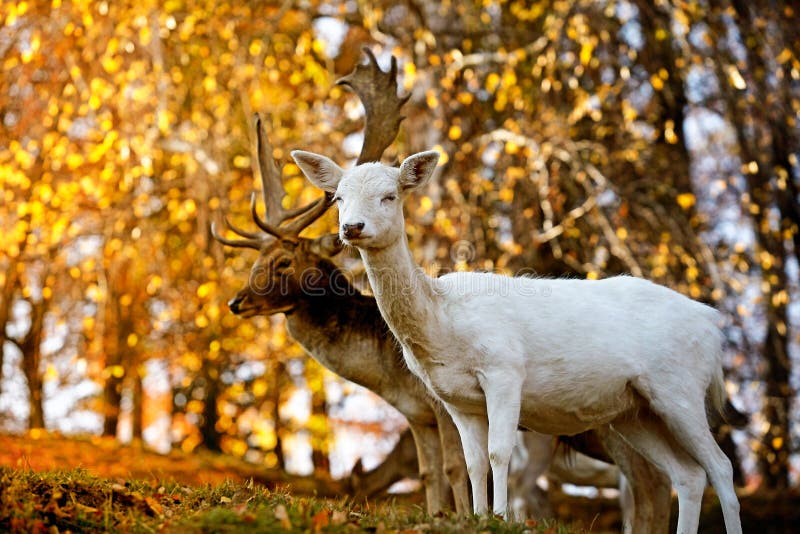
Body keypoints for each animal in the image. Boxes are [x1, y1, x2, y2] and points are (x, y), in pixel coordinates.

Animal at [292, 147, 743, 532]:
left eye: (389, 196)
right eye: (337, 198)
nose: (352, 227)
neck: (444, 323)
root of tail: (712, 325)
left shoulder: (504, 369)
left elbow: (498, 452)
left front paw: (500, 518)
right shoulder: (456, 400)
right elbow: (473, 462)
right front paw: (476, 518)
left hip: (679, 387)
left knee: (720, 467)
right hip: (635, 411)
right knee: (687, 475)